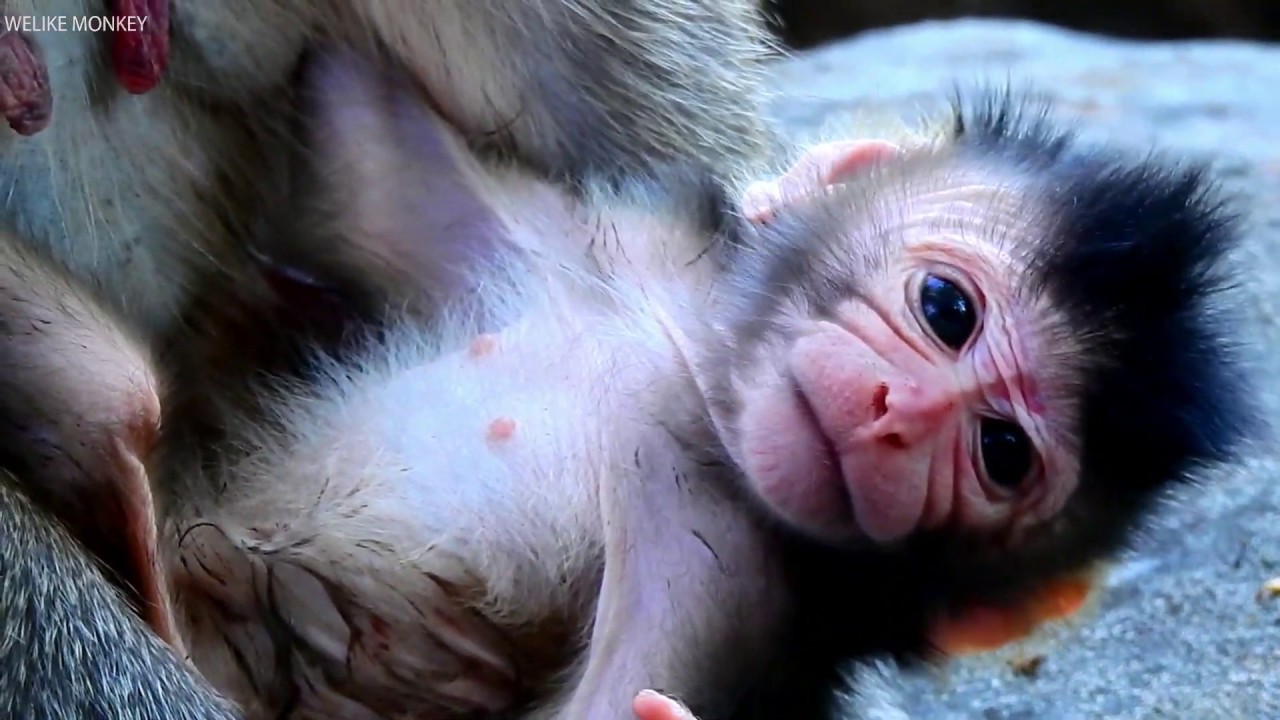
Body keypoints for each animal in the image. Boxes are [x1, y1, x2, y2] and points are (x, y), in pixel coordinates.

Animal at [158, 49, 1257, 720]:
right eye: (947, 309)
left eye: (999, 453)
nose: (899, 415)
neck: (689, 401)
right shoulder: (591, 248)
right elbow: (363, 143)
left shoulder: (717, 580)